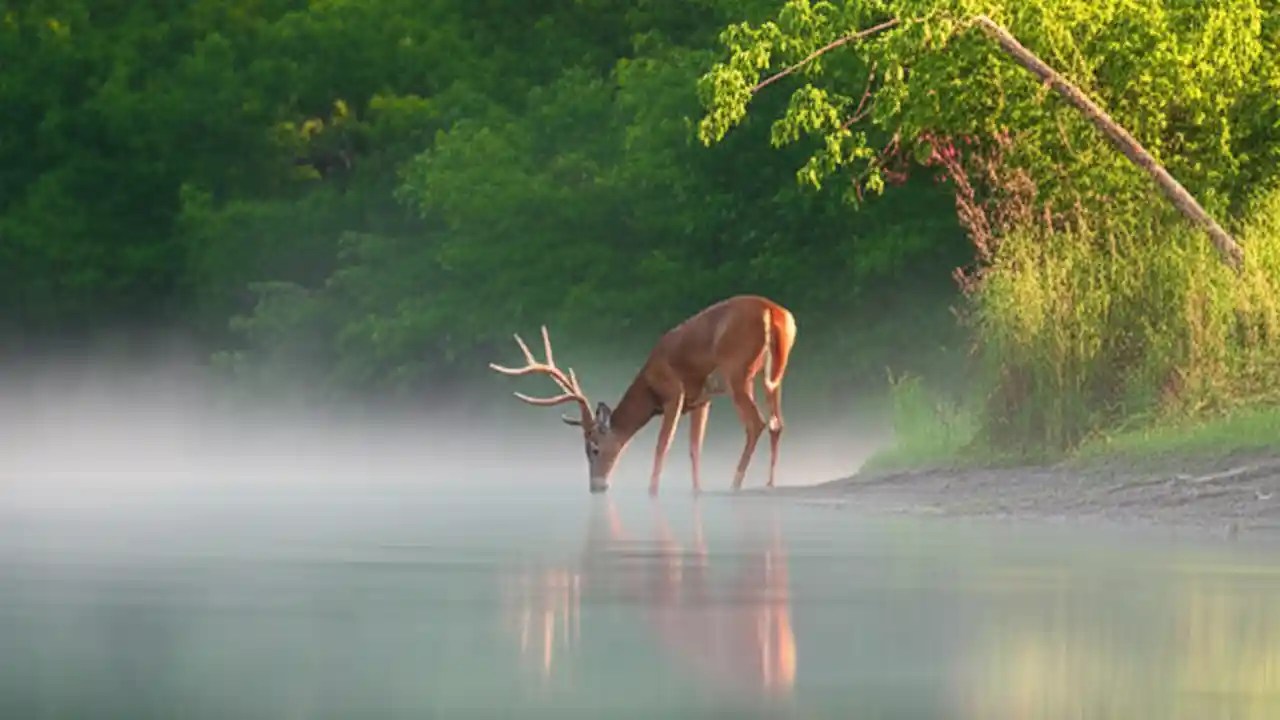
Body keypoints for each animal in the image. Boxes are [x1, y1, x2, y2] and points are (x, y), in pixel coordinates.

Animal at [488, 294, 796, 495]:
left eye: (594, 448)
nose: (597, 487)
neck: (649, 387)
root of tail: (773, 313)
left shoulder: (674, 392)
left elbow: (663, 445)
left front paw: (652, 491)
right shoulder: (702, 399)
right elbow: (694, 447)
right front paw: (696, 490)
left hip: (738, 371)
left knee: (756, 423)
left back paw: (735, 484)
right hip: (773, 374)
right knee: (777, 423)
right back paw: (769, 483)